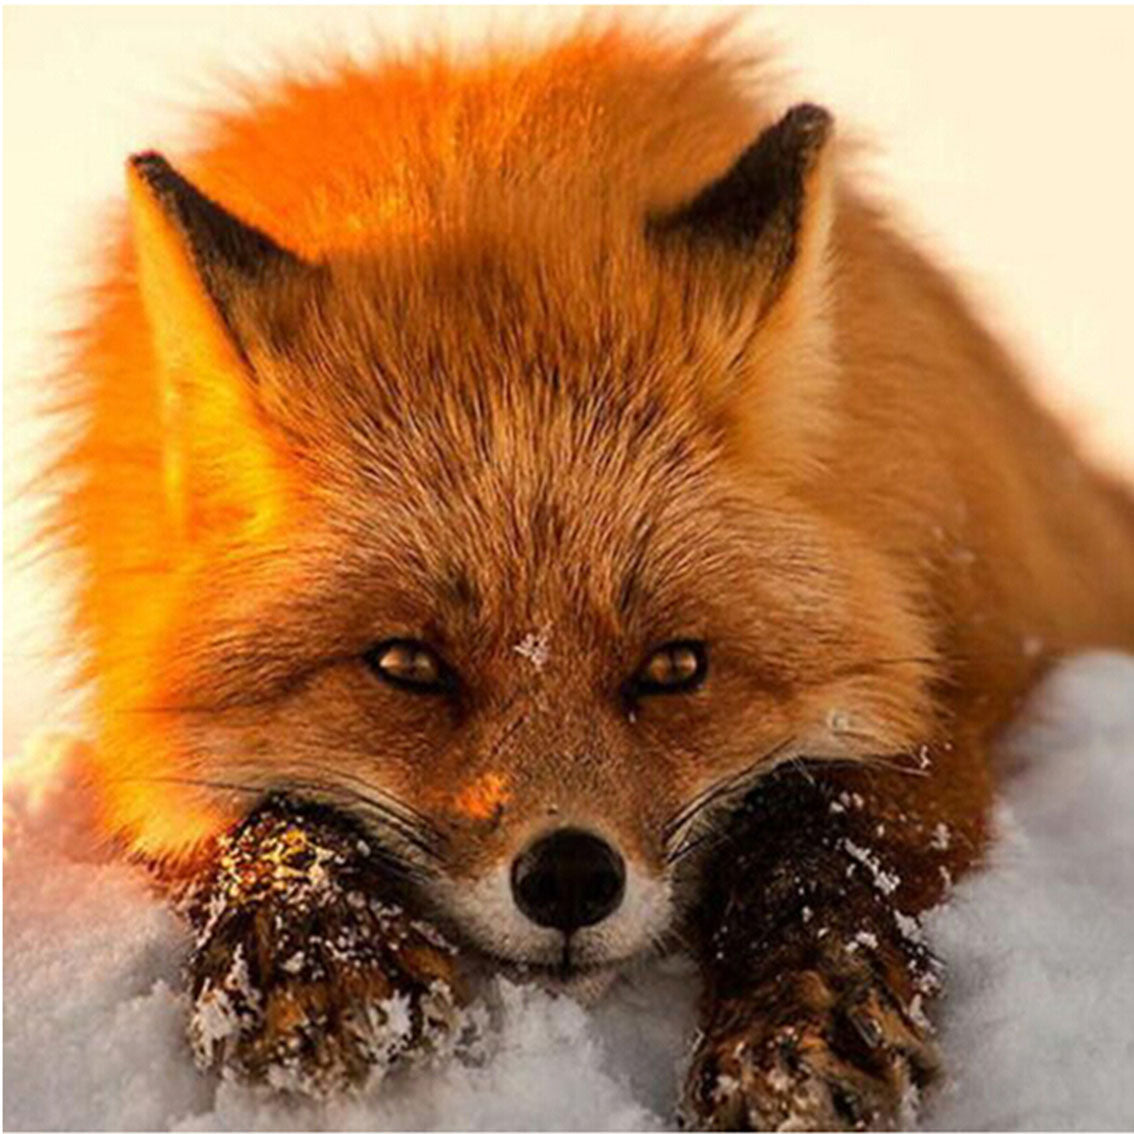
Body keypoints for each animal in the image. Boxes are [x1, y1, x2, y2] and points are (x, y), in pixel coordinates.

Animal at [49, 18, 1134, 1130]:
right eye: (406, 665)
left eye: (675, 668)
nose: (570, 877)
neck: (491, 174)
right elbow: (272, 814)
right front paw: (316, 948)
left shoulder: (954, 683)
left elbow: (821, 827)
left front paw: (801, 1018)